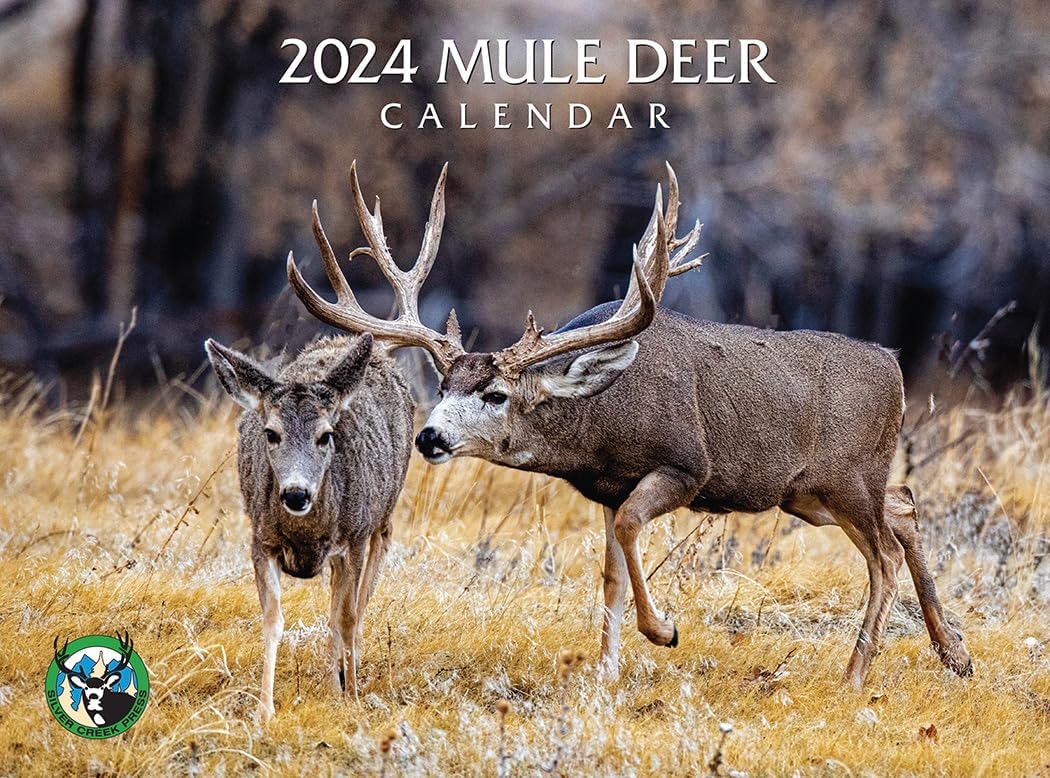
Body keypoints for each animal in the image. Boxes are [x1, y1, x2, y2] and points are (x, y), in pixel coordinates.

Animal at [205, 332, 413, 722]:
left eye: (326, 435)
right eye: (271, 434)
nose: (296, 493)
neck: (307, 537)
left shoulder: (354, 539)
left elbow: (347, 617)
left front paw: (352, 699)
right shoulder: (261, 541)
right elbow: (273, 619)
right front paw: (265, 710)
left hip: (382, 518)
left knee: (360, 602)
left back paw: (347, 678)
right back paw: (335, 681)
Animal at [286, 161, 973, 689]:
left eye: (496, 394)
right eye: (445, 386)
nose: (429, 436)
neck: (600, 426)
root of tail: (895, 367)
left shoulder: (685, 465)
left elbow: (631, 529)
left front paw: (664, 630)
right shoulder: (609, 489)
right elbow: (612, 572)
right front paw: (606, 672)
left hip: (846, 477)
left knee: (884, 552)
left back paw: (855, 675)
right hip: (814, 493)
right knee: (905, 505)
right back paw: (955, 653)